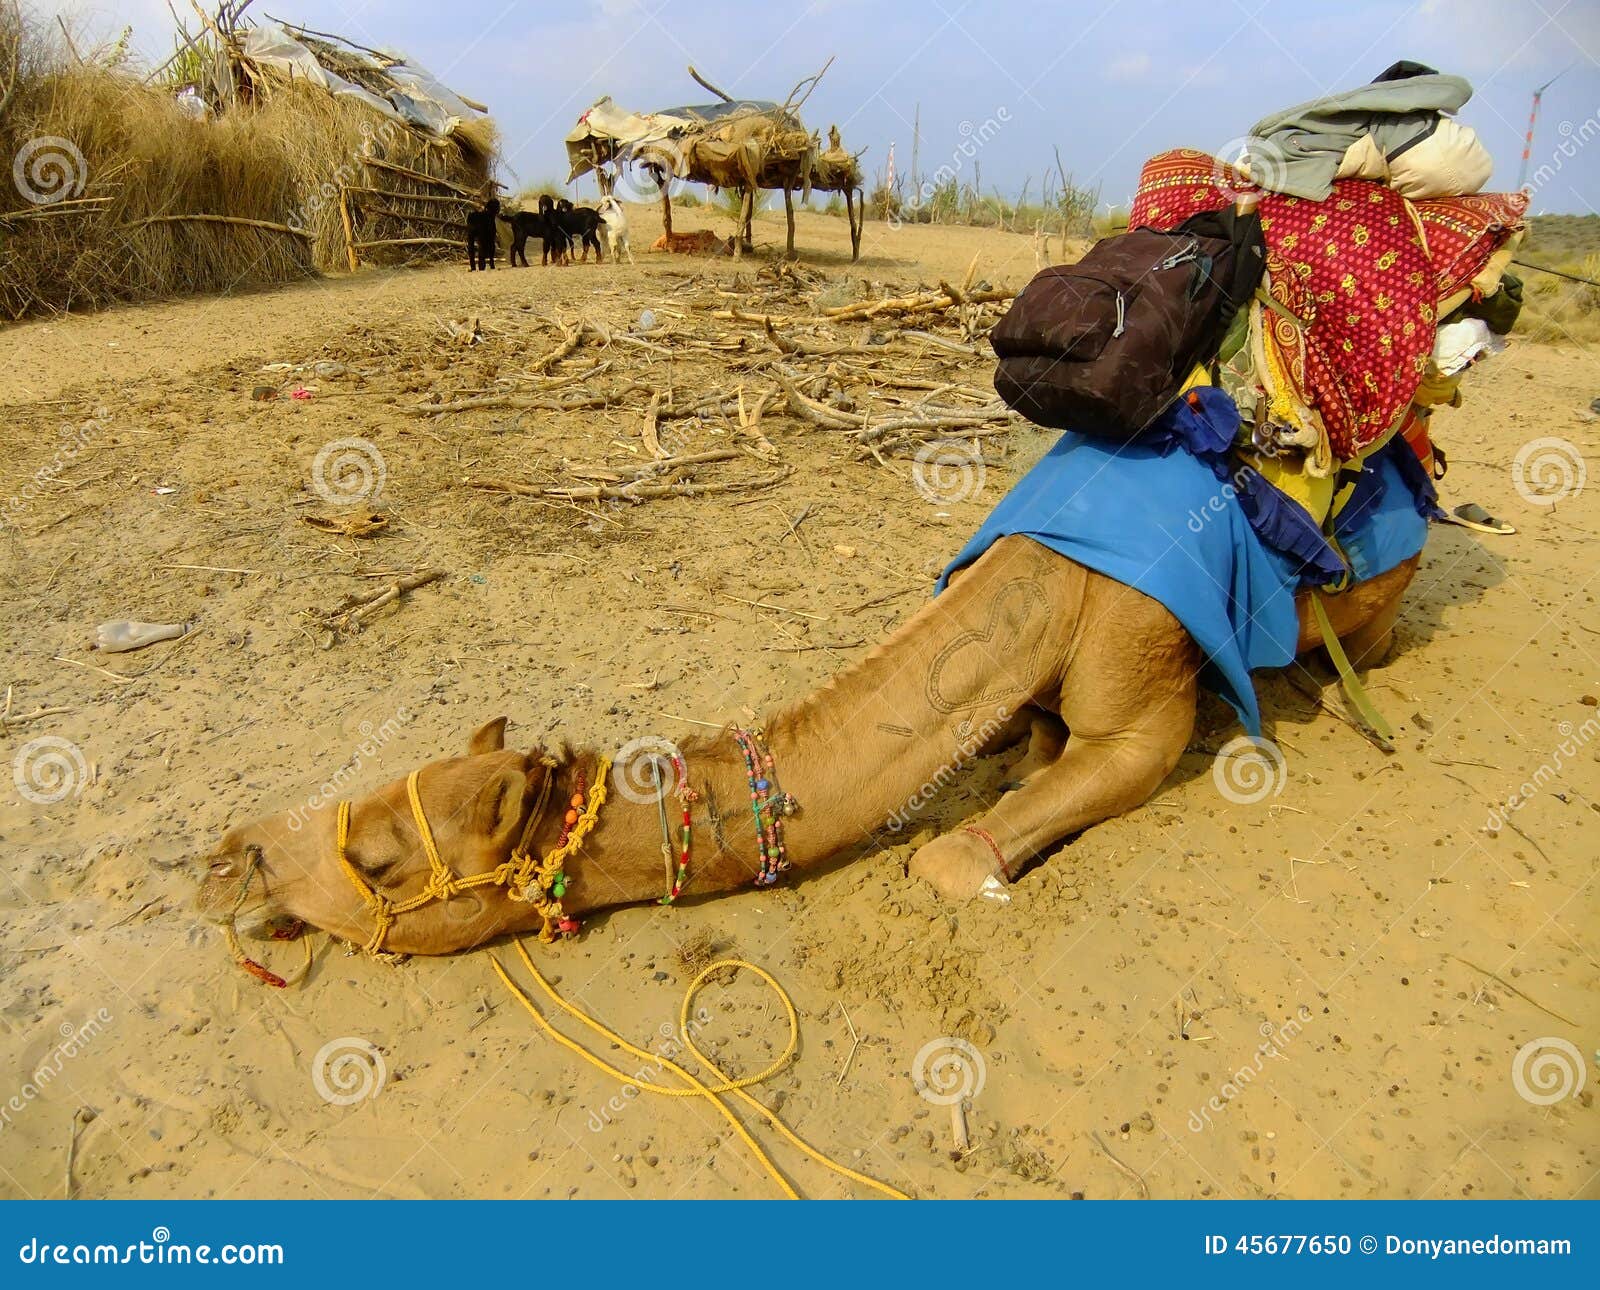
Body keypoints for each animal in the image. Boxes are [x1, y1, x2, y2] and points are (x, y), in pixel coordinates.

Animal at [197, 534, 1418, 958]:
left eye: (382, 860)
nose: (232, 854)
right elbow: (1034, 744)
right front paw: (1023, 753)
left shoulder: (1142, 674)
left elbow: (970, 843)